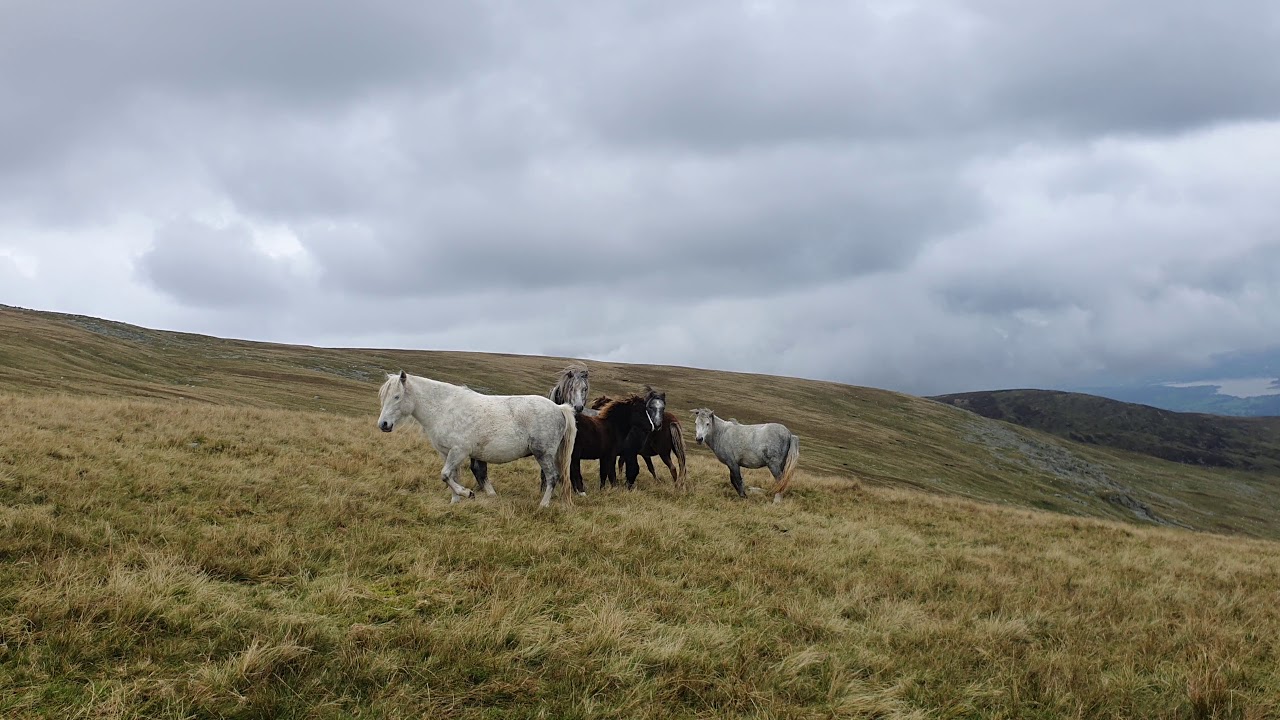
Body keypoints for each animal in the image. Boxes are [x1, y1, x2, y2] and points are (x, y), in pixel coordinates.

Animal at [377, 371, 577, 508]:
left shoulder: (459, 451)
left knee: (553, 477)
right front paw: (455, 501)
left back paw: (543, 505)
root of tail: (559, 408)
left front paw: (467, 493)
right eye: (383, 397)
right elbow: (452, 475)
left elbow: (445, 475)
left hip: (543, 453)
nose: (383, 424)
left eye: (397, 397)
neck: (444, 408)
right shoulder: (446, 453)